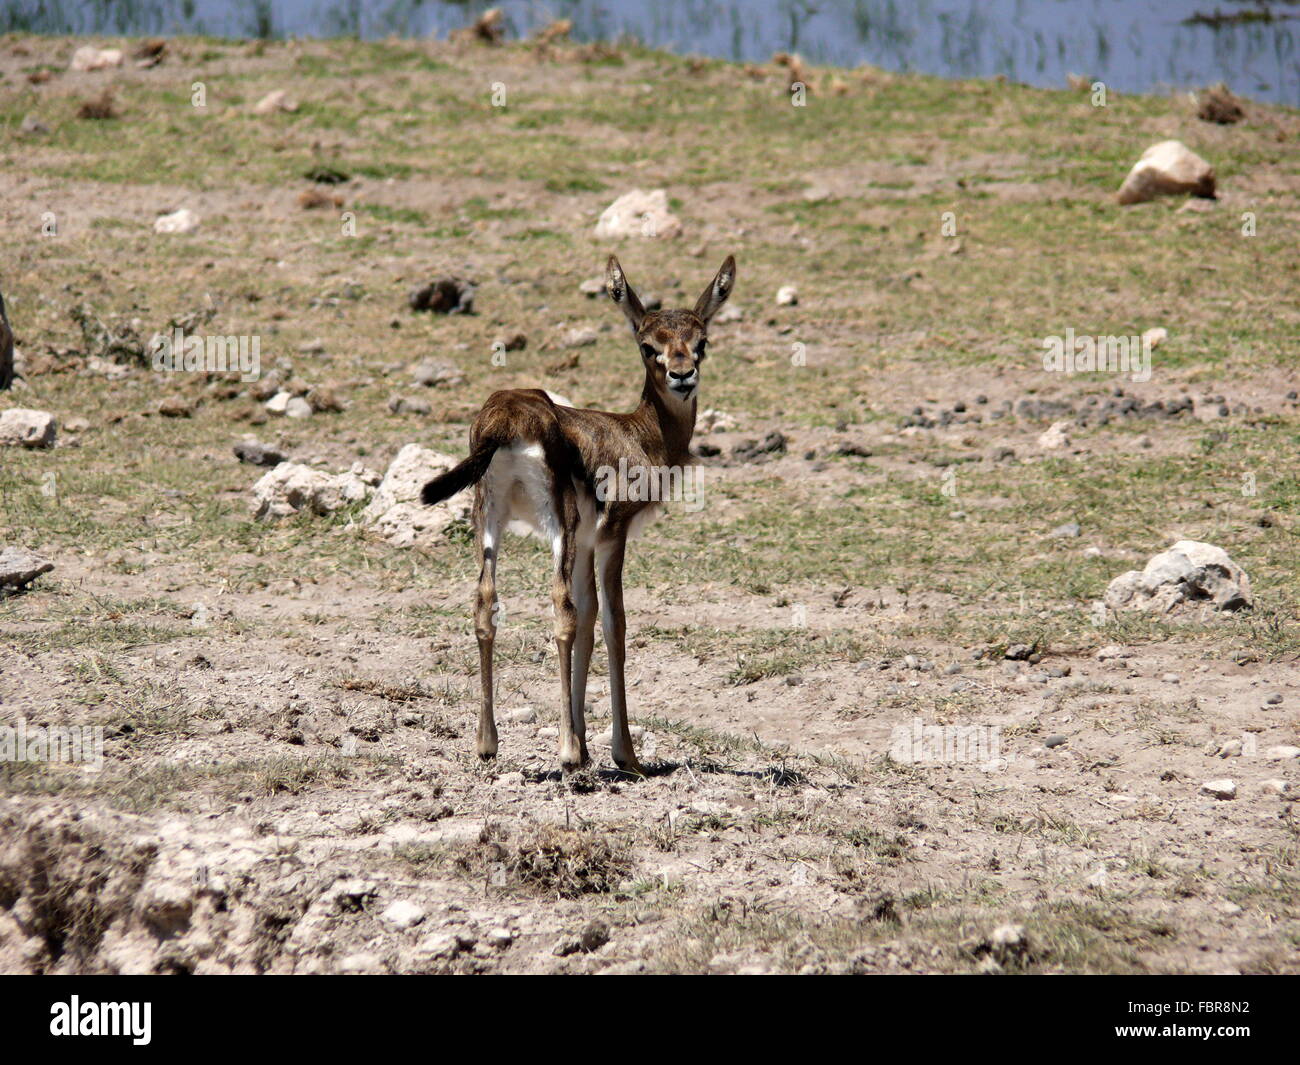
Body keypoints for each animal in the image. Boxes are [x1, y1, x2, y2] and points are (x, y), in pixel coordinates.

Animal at [421, 255, 736, 774]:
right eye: (648, 346)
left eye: (701, 342)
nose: (682, 375)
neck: (642, 434)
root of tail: (506, 415)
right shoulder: (611, 535)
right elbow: (611, 624)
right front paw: (622, 754)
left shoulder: (588, 541)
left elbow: (589, 622)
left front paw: (588, 745)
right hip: (557, 526)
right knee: (561, 607)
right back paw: (565, 753)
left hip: (489, 519)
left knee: (485, 602)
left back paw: (488, 744)